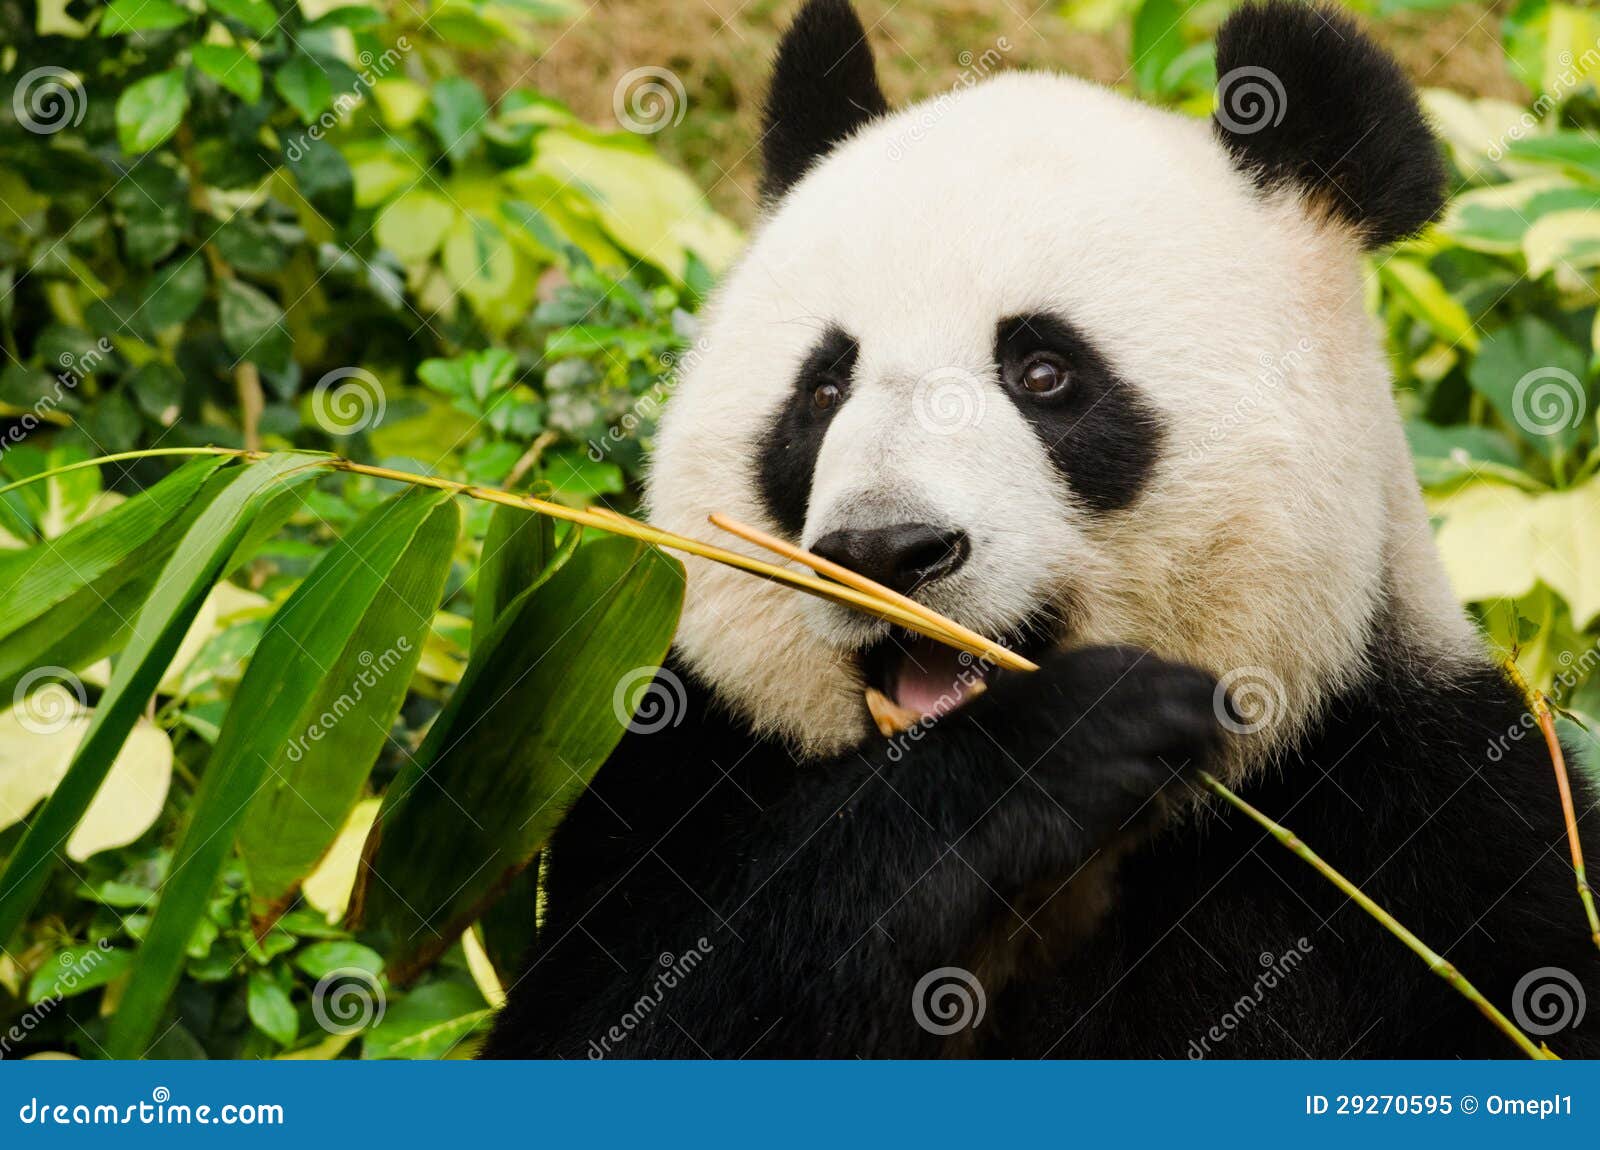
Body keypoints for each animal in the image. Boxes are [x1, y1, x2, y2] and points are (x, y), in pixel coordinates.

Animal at [484, 0, 1600, 1058]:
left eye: (1045, 373)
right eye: (823, 388)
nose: (885, 551)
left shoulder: (1430, 813)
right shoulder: (673, 775)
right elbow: (616, 1017)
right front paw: (1056, 745)